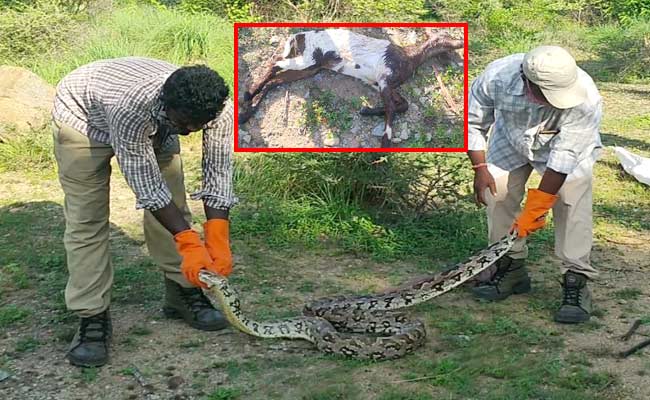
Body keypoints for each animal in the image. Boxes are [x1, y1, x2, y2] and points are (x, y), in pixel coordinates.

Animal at [238, 28, 464, 148]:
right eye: (445, 36)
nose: (461, 42)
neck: (409, 57)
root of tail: (298, 35)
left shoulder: (381, 85)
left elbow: (403, 105)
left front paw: (366, 111)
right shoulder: (384, 79)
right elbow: (392, 108)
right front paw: (385, 140)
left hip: (310, 68)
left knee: (276, 80)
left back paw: (246, 113)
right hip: (308, 58)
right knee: (274, 63)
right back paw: (248, 95)